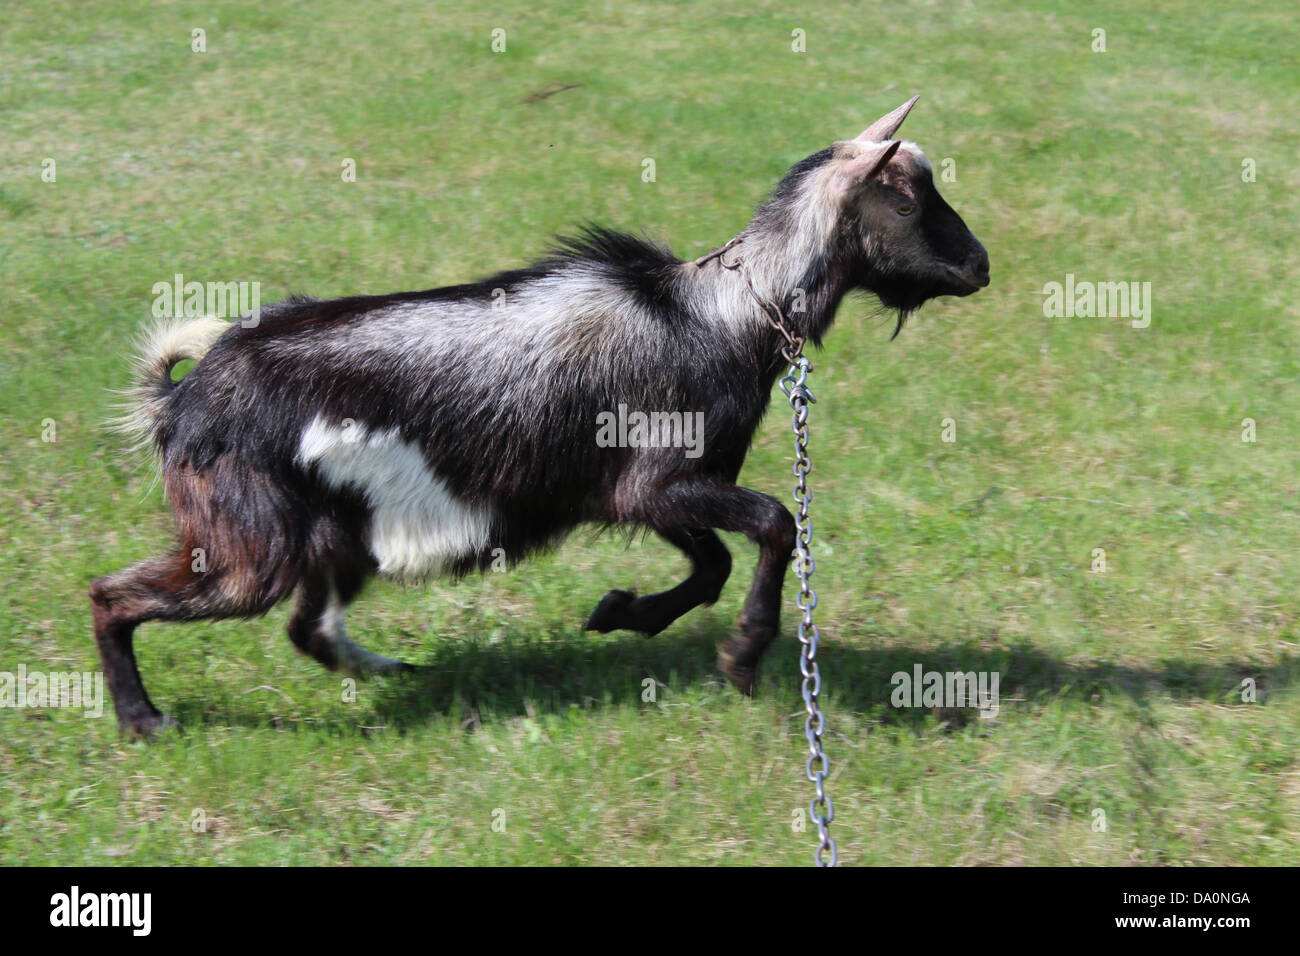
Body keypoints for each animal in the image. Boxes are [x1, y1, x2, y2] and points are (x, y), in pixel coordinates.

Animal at [92, 97, 989, 736]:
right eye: (908, 202)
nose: (980, 266)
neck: (722, 313)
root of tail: (182, 398)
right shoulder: (659, 483)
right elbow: (773, 524)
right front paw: (741, 655)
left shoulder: (645, 492)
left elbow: (712, 562)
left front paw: (622, 613)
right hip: (248, 547)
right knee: (113, 595)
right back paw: (144, 722)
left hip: (335, 536)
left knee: (308, 628)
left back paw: (392, 673)